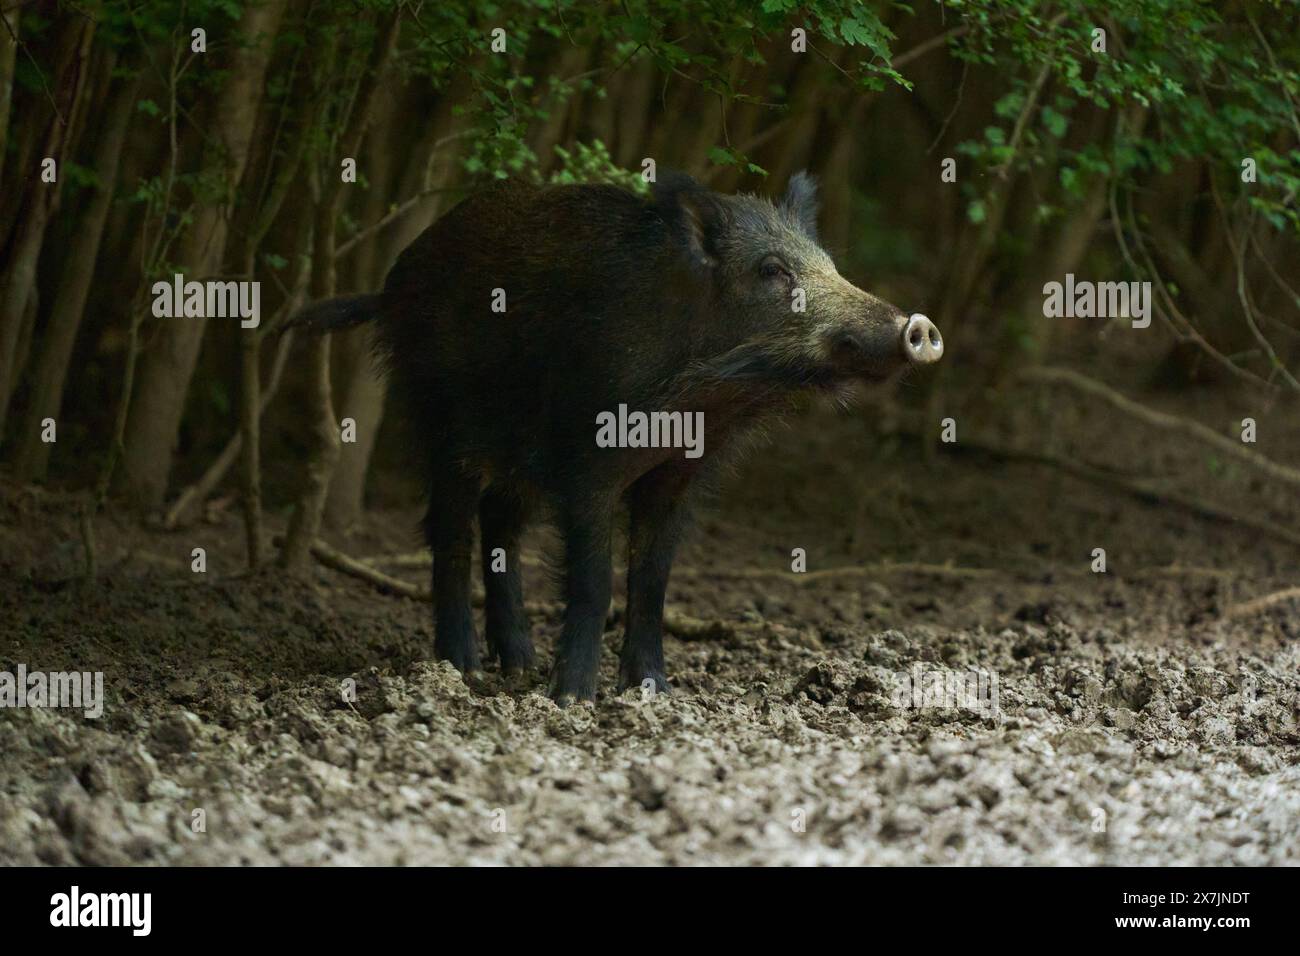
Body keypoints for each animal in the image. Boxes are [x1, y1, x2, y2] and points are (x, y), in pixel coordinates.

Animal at [290, 171, 943, 702]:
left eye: (830, 264)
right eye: (772, 270)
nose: (919, 326)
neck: (701, 402)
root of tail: (394, 281)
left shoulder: (680, 473)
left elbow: (652, 580)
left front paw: (653, 692)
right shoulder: (588, 460)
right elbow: (595, 581)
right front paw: (573, 699)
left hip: (519, 454)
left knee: (500, 523)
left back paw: (518, 667)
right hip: (440, 419)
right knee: (449, 530)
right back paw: (465, 671)